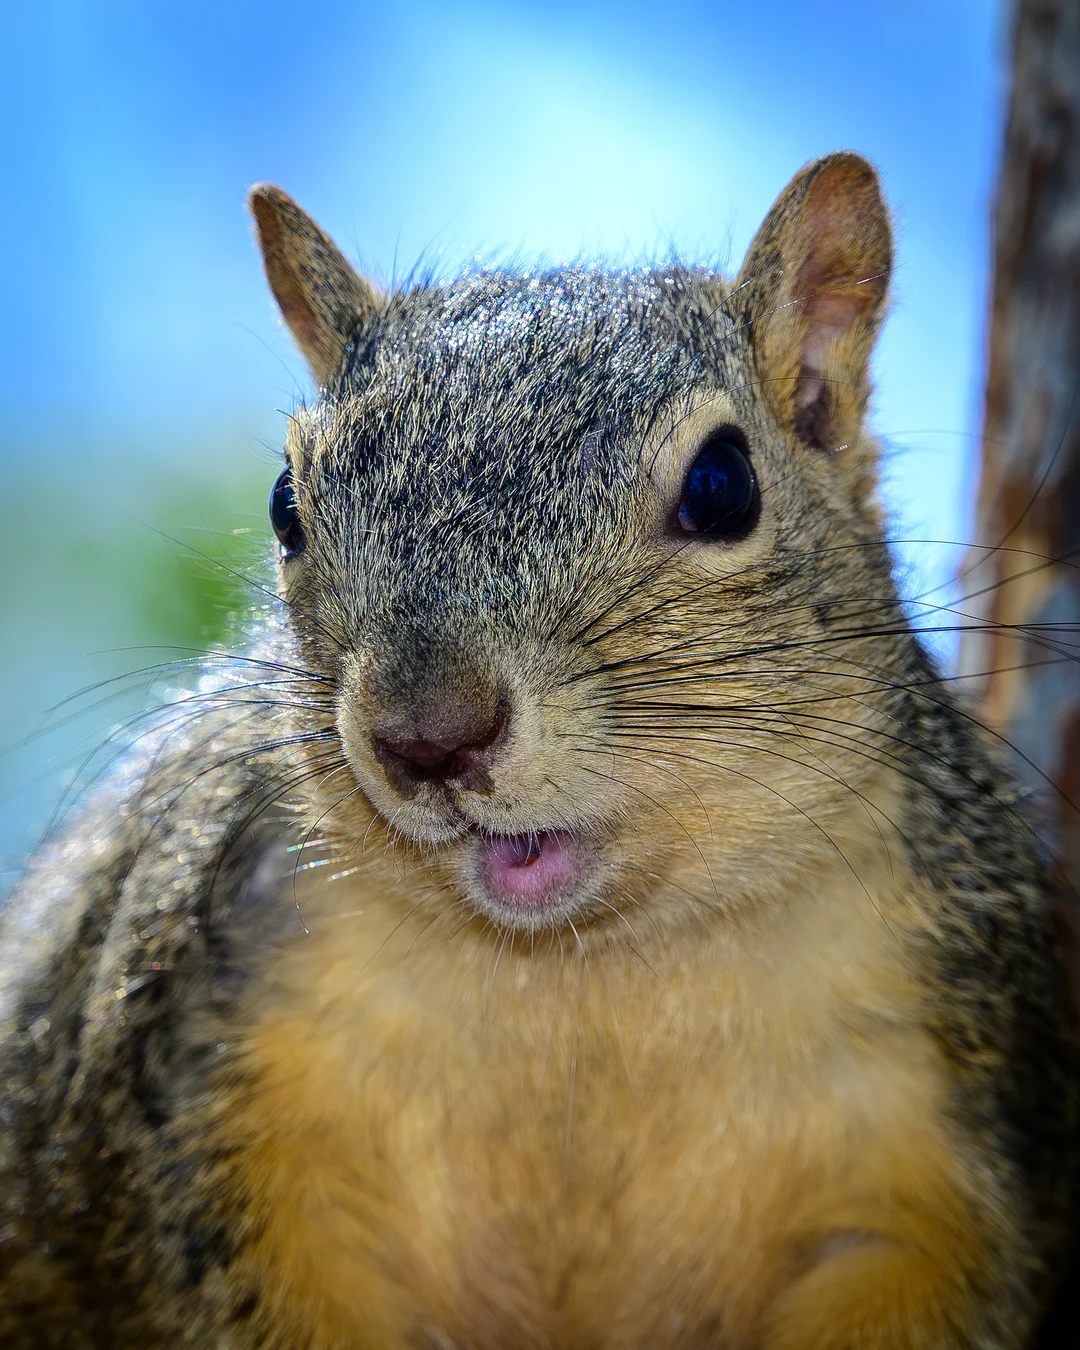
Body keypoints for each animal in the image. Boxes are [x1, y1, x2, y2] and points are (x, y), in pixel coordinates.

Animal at [0, 151, 1077, 1349]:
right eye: (286, 504)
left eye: (722, 486)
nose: (427, 733)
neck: (584, 980)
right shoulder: (214, 1091)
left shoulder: (938, 1131)